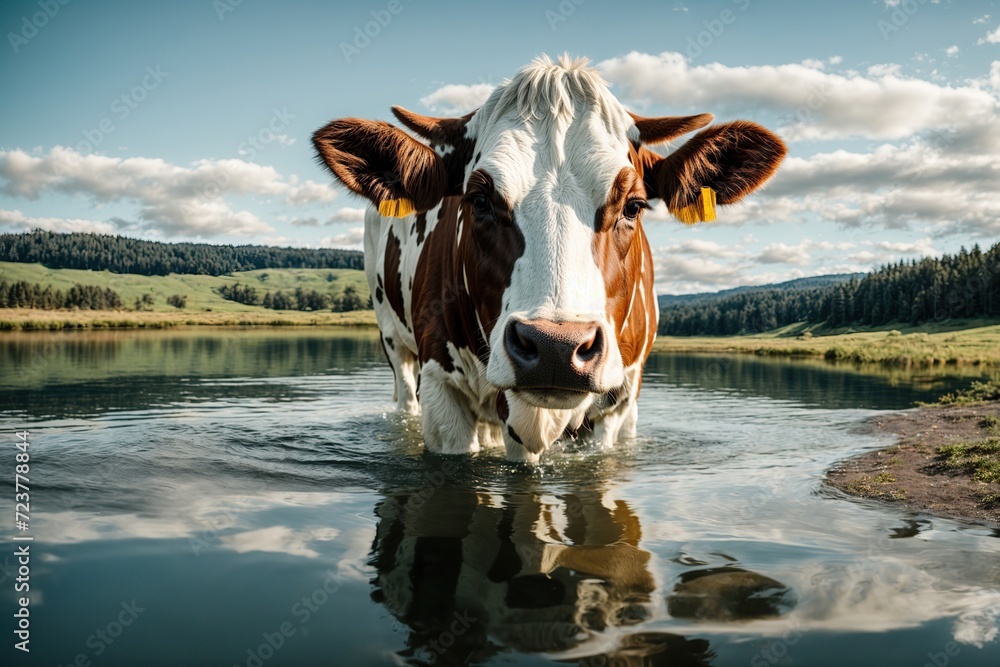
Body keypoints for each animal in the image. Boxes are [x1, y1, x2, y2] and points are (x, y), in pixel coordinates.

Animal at [313, 55, 786, 461]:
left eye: (633, 205)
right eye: (478, 200)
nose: (555, 347)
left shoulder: (616, 404)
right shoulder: (440, 392)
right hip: (394, 344)